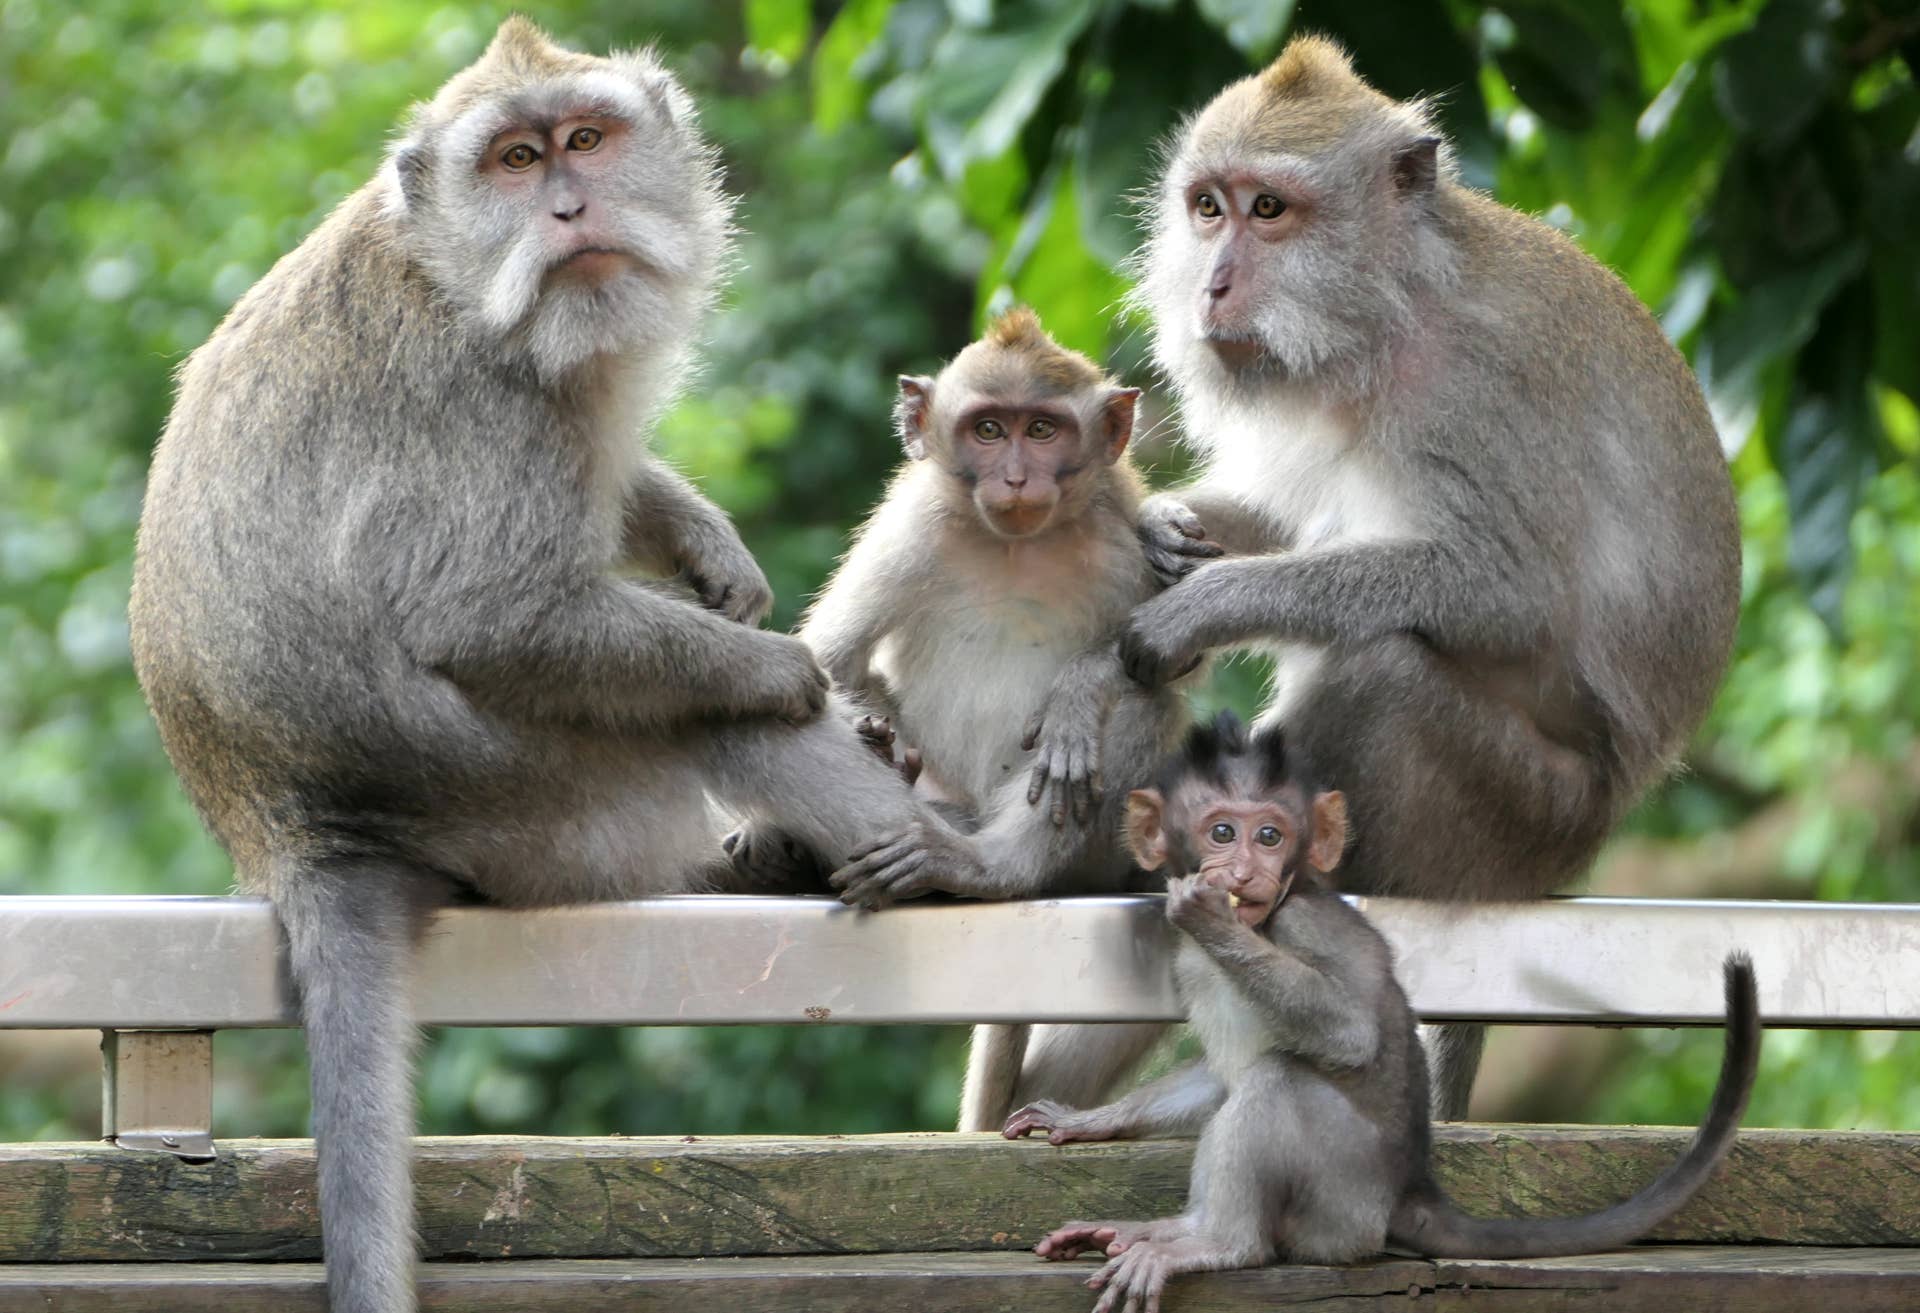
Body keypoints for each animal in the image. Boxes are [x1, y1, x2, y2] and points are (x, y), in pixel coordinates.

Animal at [127, 21, 949, 1313]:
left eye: (586, 139)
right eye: (514, 161)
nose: (568, 206)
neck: (453, 272)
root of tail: (291, 832)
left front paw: (709, 547)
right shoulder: (483, 402)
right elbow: (490, 617)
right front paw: (776, 665)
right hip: (532, 795)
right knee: (682, 718)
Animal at [732, 308, 1194, 1131]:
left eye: (1041, 429)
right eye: (987, 429)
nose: (1014, 476)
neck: (1016, 545)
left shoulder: (1122, 538)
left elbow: (1165, 661)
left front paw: (1074, 701)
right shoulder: (910, 526)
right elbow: (830, 661)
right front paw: (866, 747)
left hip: (1097, 852)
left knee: (1146, 706)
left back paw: (989, 866)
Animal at [1006, 714, 1759, 1313]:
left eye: (1270, 835)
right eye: (1222, 830)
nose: (1245, 871)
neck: (1267, 917)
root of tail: (1409, 1190)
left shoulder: (1305, 921)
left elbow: (1348, 1032)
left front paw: (1213, 919)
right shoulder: (1186, 962)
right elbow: (1217, 1076)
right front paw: (1085, 1120)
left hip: (1343, 1203)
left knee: (1280, 1080)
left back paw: (1219, 1243)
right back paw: (1169, 1229)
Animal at [1110, 35, 1742, 1118]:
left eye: (1269, 210)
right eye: (1208, 208)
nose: (1213, 287)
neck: (1393, 307)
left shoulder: (1477, 386)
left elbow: (1509, 593)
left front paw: (1207, 606)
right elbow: (1292, 514)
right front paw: (1168, 527)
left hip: (1517, 816)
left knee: (1383, 667)